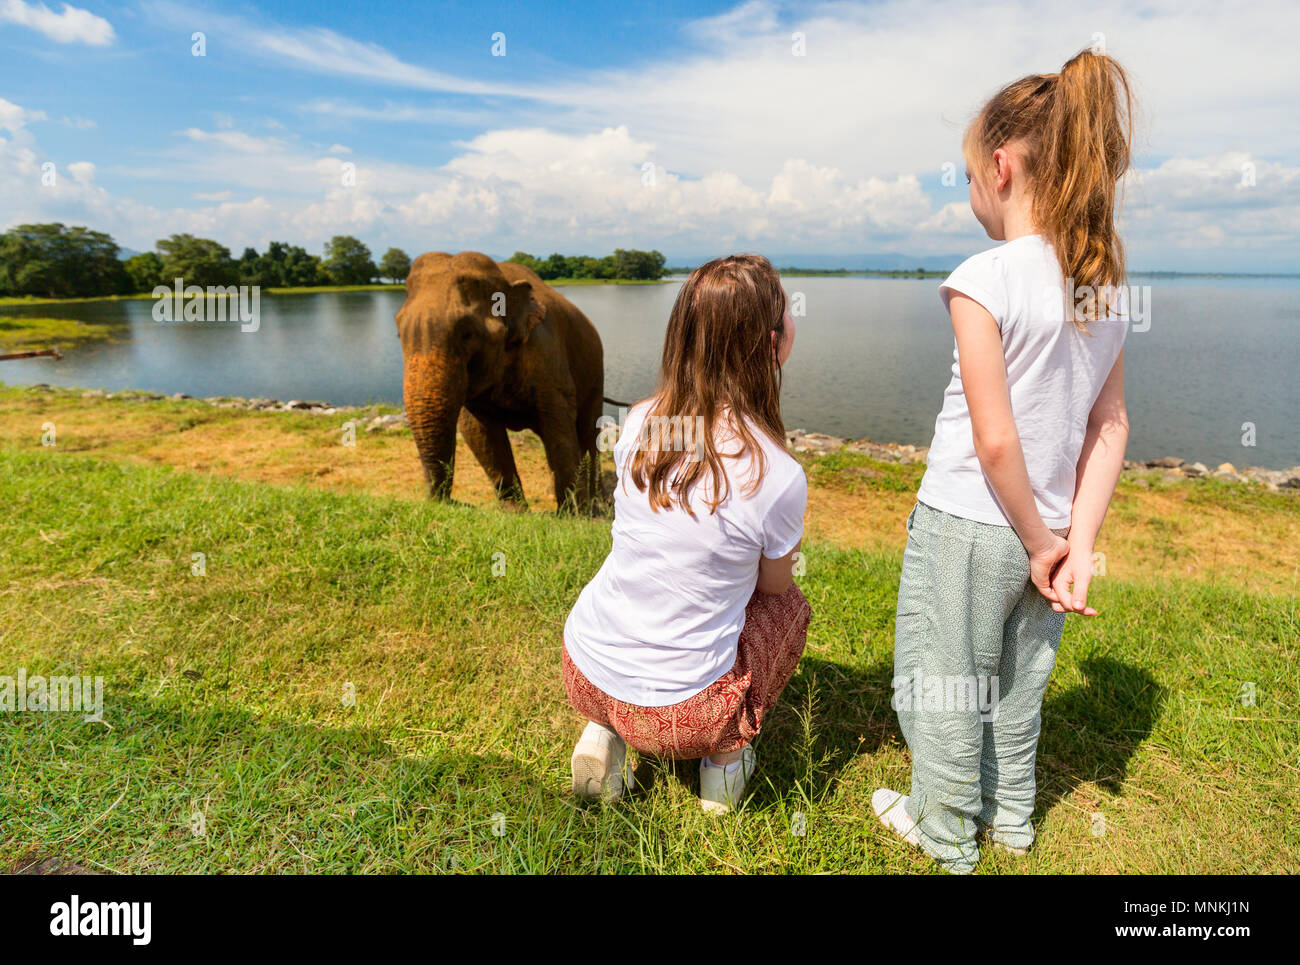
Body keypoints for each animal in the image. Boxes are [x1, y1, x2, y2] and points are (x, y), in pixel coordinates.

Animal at [396, 250, 614, 513]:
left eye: (467, 334)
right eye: (399, 333)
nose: (450, 502)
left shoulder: (546, 352)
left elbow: (558, 422)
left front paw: (575, 514)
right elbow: (478, 431)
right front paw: (515, 511)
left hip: (595, 374)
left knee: (588, 431)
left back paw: (599, 504)